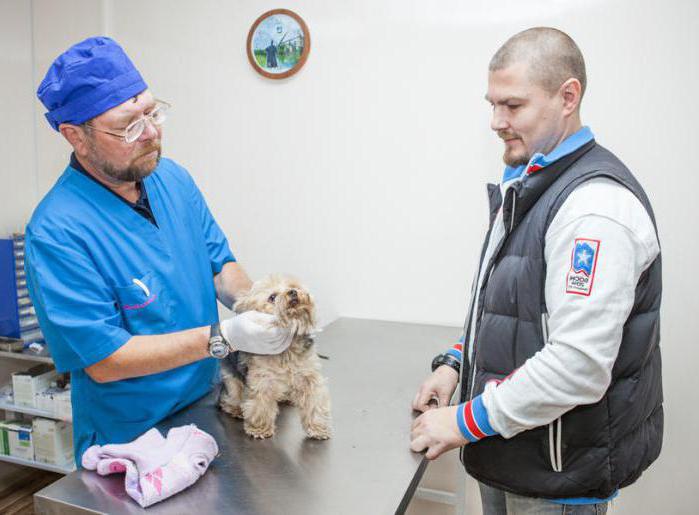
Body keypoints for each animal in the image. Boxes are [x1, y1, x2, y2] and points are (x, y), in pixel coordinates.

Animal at [220, 276, 332, 442]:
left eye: (293, 286)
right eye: (272, 297)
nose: (293, 292)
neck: (287, 349)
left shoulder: (308, 376)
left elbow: (315, 402)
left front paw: (318, 428)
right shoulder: (263, 380)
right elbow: (260, 405)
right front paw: (259, 428)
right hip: (230, 377)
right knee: (231, 396)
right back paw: (236, 409)